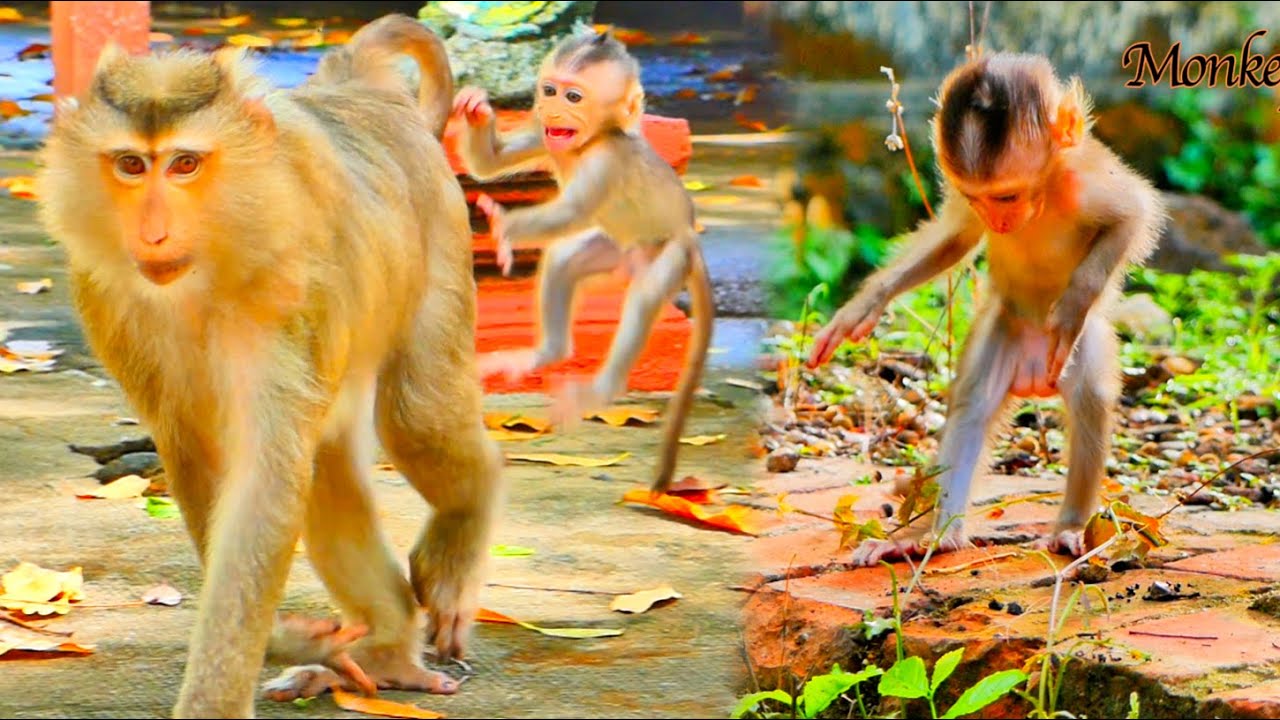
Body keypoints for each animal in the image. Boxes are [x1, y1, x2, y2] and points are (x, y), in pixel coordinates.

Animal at [35, 13, 505, 717]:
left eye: (185, 164)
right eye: (130, 165)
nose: (152, 233)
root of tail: (360, 91)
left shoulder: (289, 288)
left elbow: (262, 479)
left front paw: (214, 699)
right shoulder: (110, 301)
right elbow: (197, 454)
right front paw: (297, 640)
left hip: (439, 245)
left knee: (416, 419)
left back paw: (458, 536)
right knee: (331, 468)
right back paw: (386, 651)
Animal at [454, 28, 715, 494]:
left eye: (574, 96)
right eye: (549, 91)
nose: (554, 107)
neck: (589, 141)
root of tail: (690, 234)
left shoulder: (604, 164)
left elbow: (573, 211)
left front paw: (504, 226)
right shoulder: (541, 130)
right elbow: (491, 162)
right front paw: (475, 109)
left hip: (669, 254)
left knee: (645, 295)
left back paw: (601, 389)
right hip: (617, 250)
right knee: (564, 258)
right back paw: (546, 353)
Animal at [806, 53, 1165, 567]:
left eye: (1007, 196)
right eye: (980, 199)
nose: (998, 219)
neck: (1043, 197)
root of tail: (1034, 374)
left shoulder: (1087, 180)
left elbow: (1133, 215)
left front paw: (1071, 306)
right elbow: (955, 237)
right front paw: (863, 306)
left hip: (1076, 348)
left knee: (1090, 400)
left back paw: (1070, 526)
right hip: (1003, 332)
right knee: (973, 405)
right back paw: (936, 536)